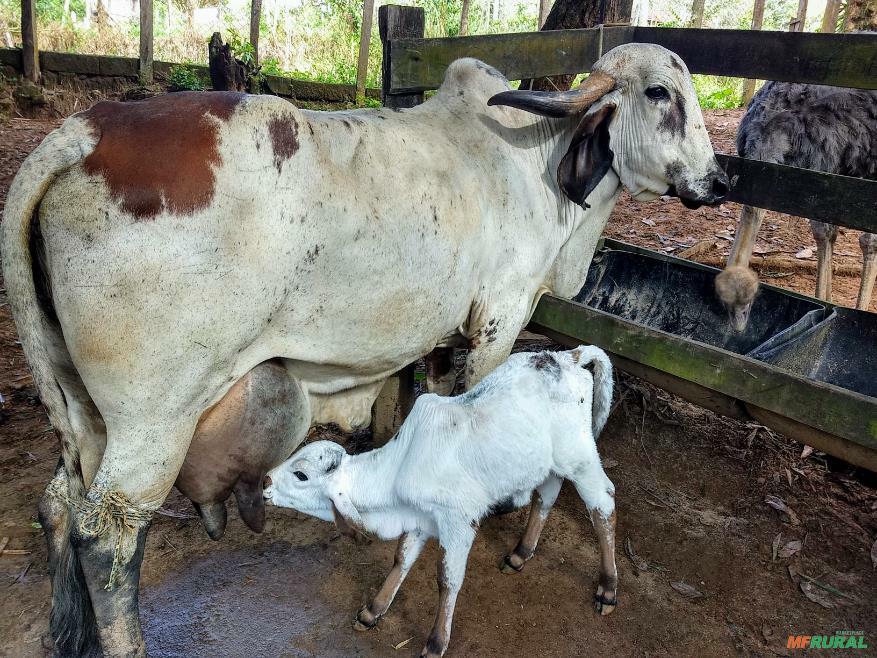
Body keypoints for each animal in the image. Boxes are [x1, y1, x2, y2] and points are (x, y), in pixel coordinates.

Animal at [2, 43, 726, 656]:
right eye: (660, 93)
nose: (717, 180)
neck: (536, 167)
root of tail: (86, 130)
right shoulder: (498, 320)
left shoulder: (438, 344)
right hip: (157, 414)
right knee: (108, 536)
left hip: (81, 410)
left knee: (59, 505)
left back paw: (69, 633)